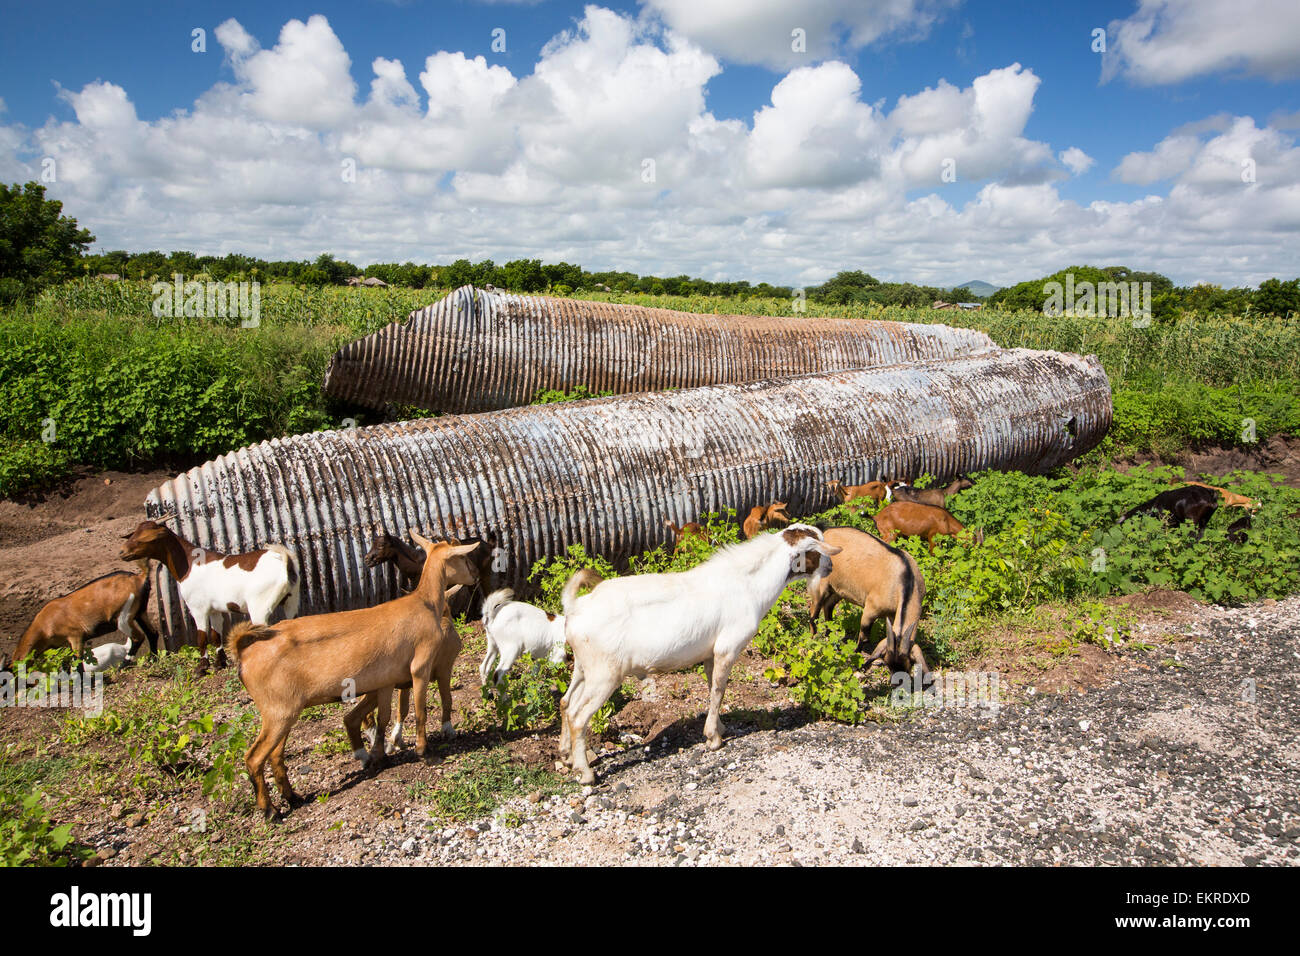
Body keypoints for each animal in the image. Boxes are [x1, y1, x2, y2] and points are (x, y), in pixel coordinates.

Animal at [9, 562, 158, 668]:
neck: (44, 623)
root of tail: (140, 577)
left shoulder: (76, 636)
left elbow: (78, 663)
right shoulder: (64, 645)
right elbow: (66, 664)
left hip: (122, 618)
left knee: (138, 637)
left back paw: (122, 666)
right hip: (140, 613)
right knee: (153, 633)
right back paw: (153, 659)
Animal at [120, 518, 299, 674]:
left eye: (144, 539)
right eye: (133, 534)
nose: (122, 552)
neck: (190, 563)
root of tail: (285, 561)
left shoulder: (198, 608)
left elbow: (201, 636)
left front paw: (201, 668)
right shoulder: (215, 609)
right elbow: (216, 635)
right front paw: (220, 663)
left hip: (260, 606)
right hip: (291, 601)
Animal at [225, 534, 480, 816]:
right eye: (463, 557)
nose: (477, 575)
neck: (424, 603)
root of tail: (243, 651)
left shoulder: (386, 680)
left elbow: (383, 717)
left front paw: (379, 756)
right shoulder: (420, 666)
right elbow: (420, 711)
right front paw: (425, 752)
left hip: (282, 712)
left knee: (275, 755)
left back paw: (293, 797)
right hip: (277, 712)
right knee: (254, 757)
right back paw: (270, 810)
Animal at [557, 524, 841, 784]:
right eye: (817, 551)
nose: (831, 568)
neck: (749, 585)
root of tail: (576, 609)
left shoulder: (710, 654)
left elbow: (711, 686)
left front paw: (720, 728)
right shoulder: (728, 647)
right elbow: (719, 689)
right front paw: (713, 739)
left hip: (584, 667)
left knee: (566, 703)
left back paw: (567, 756)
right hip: (605, 674)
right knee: (578, 717)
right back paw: (585, 774)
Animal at [806, 526, 929, 681]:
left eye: (908, 666)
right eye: (887, 662)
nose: (897, 682)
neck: (905, 581)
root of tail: (826, 532)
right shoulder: (871, 609)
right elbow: (864, 637)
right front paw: (857, 660)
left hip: (838, 589)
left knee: (828, 607)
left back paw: (830, 637)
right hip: (821, 583)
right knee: (814, 612)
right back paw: (812, 640)